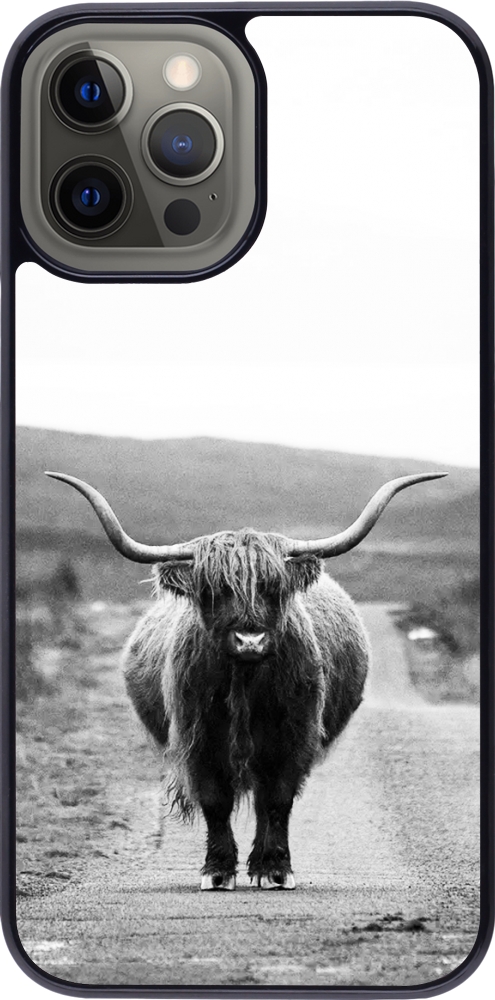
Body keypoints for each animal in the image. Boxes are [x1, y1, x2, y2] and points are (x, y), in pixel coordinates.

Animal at [46, 469, 445, 890]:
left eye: (273, 587)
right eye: (214, 590)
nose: (249, 640)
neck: (245, 683)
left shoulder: (294, 737)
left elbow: (277, 800)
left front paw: (275, 868)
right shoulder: (198, 739)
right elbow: (215, 801)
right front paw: (218, 870)